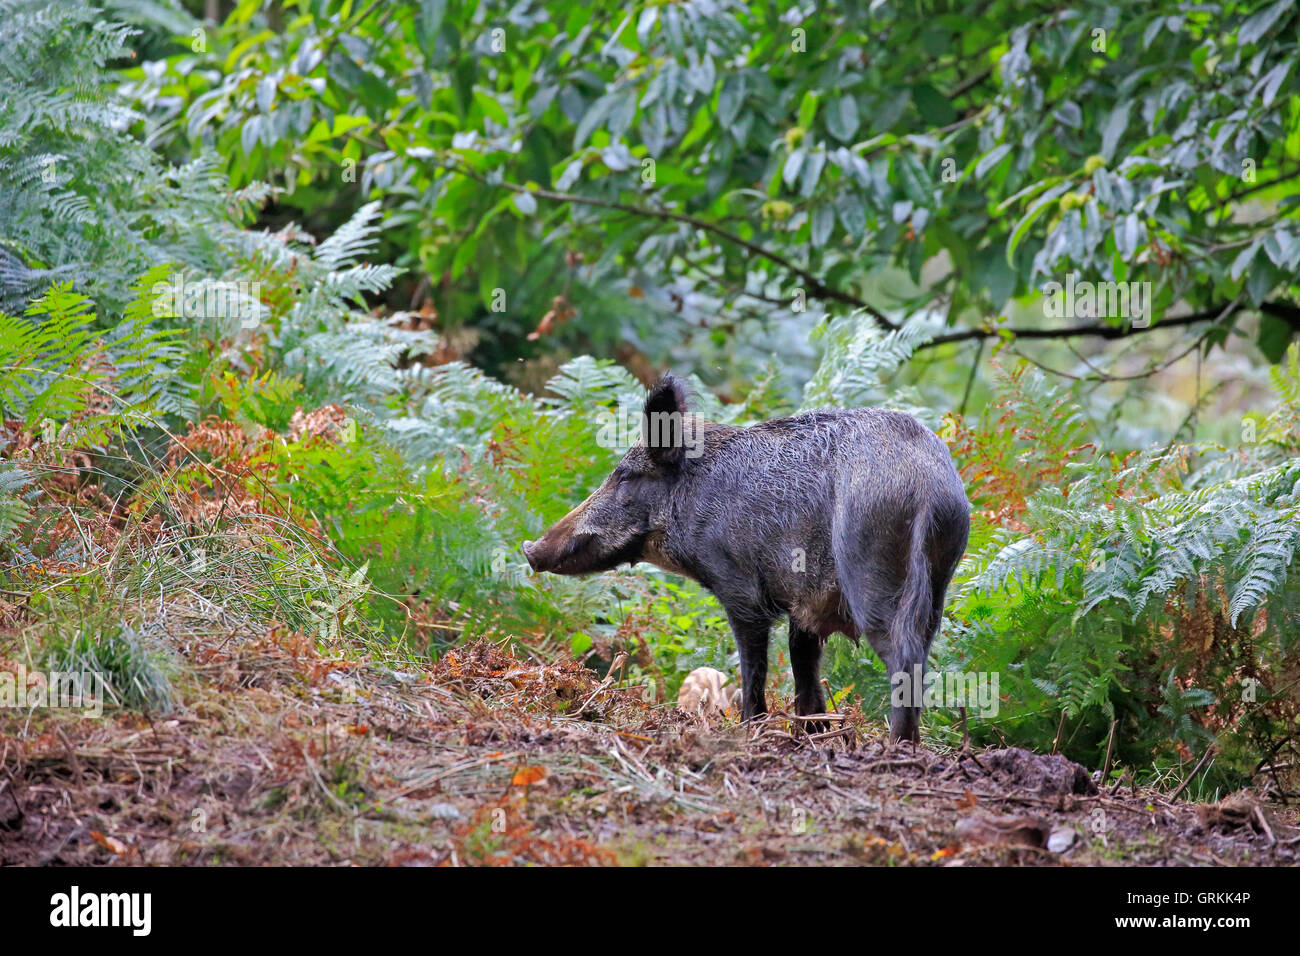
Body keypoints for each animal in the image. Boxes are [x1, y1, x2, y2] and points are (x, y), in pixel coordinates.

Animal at [522, 374, 970, 741]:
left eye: (626, 475)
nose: (530, 550)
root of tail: (929, 487)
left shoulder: (740, 589)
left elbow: (753, 665)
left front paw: (749, 730)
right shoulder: (802, 604)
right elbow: (804, 668)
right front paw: (809, 735)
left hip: (873, 568)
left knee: (904, 656)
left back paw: (897, 746)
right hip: (938, 579)